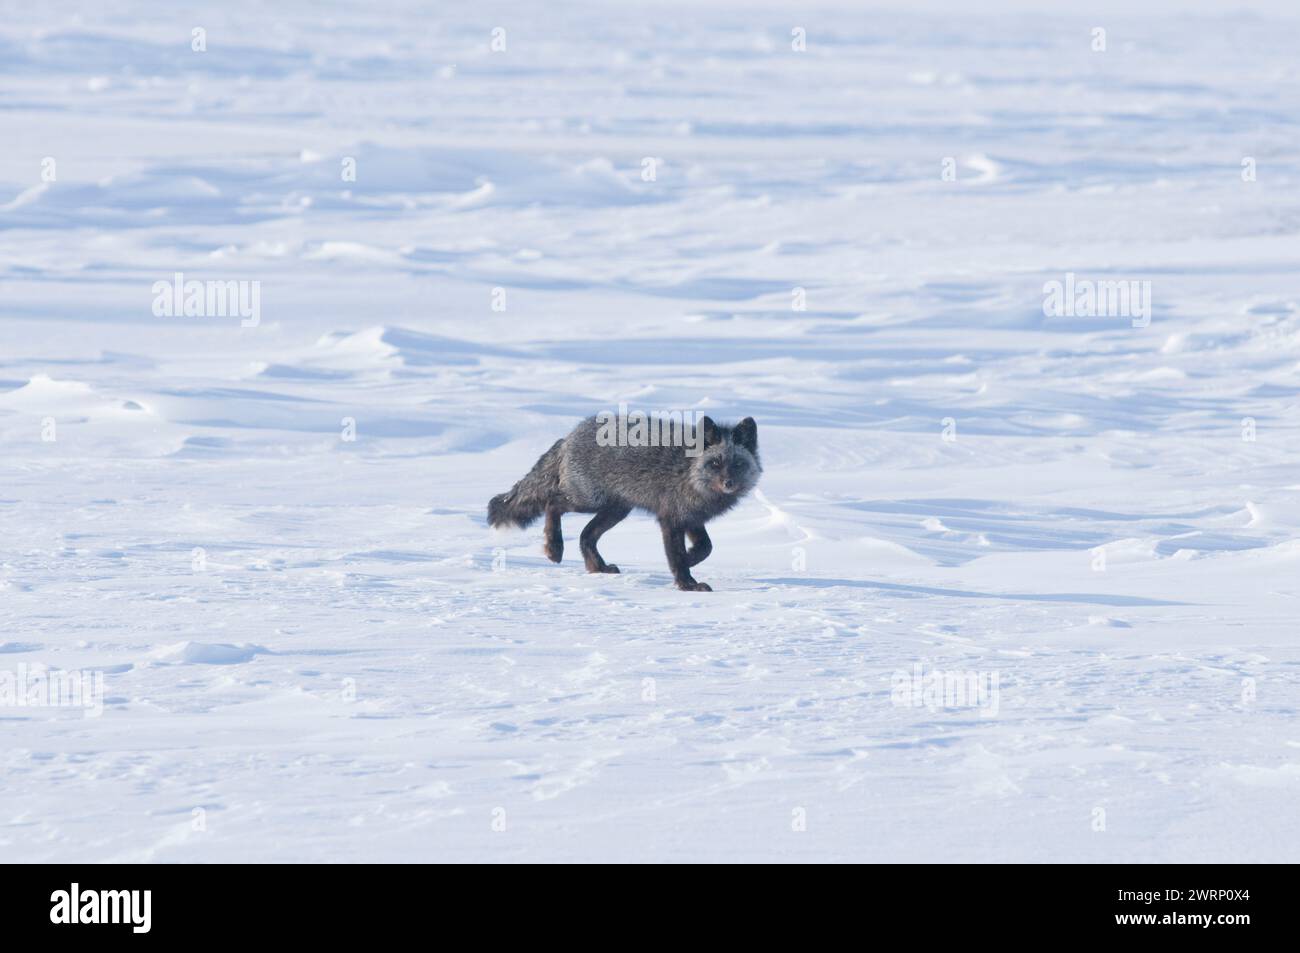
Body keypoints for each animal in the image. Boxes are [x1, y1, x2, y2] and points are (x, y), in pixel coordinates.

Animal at [487, 414, 761, 591]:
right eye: (715, 463)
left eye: (738, 464)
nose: (729, 483)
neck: (689, 471)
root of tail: (569, 435)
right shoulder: (671, 518)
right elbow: (678, 555)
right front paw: (687, 583)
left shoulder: (692, 518)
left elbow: (706, 547)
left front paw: (690, 558)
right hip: (588, 500)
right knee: (552, 504)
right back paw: (554, 548)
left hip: (616, 510)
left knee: (585, 536)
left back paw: (597, 567)